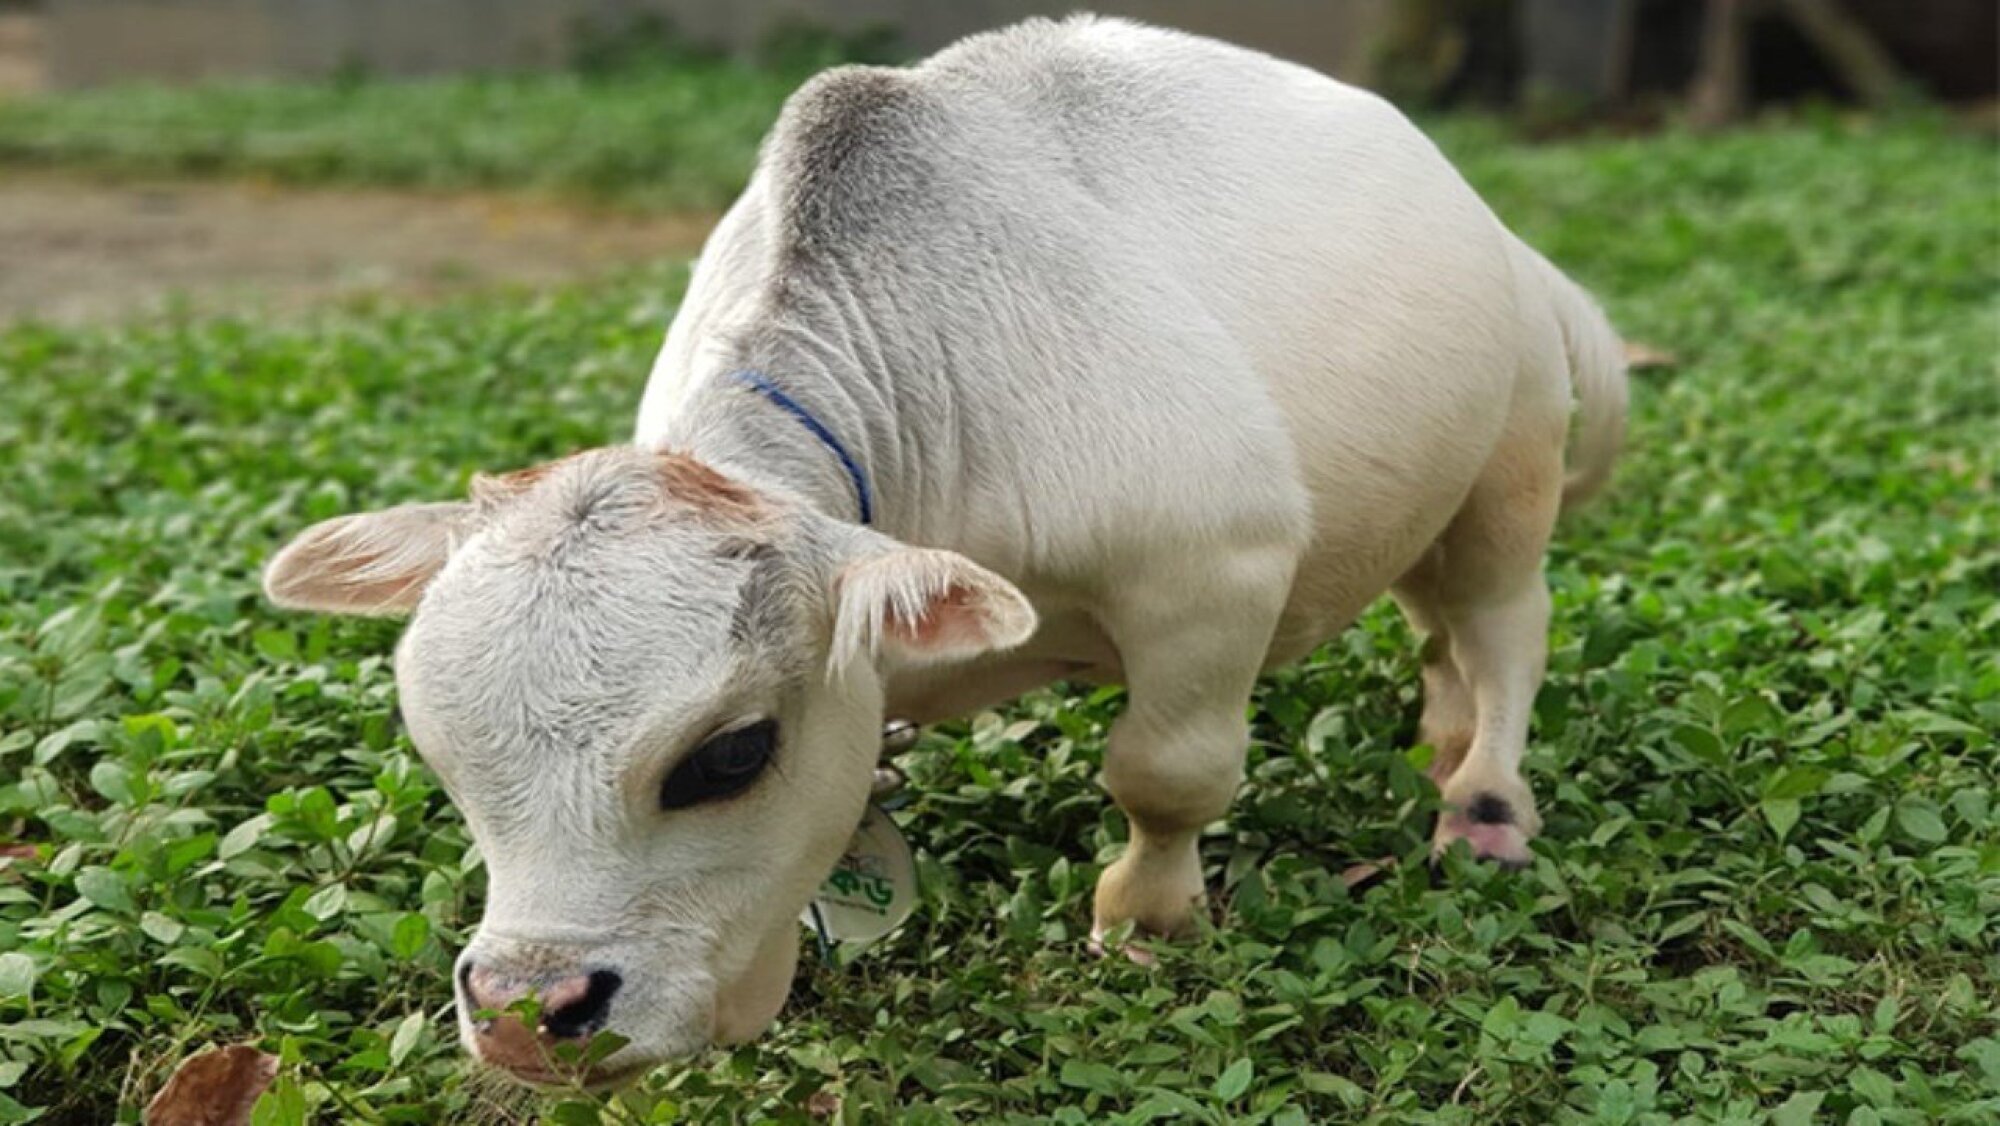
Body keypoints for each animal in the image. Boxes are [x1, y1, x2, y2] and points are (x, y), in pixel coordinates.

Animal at [261, 16, 1626, 1086]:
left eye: (728, 754)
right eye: (437, 747)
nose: (524, 1016)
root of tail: (1505, 242)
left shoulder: (1212, 569)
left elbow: (1166, 773)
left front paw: (1145, 919)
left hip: (1509, 466)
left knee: (1502, 625)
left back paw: (1482, 800)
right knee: (1437, 628)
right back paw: (1441, 731)